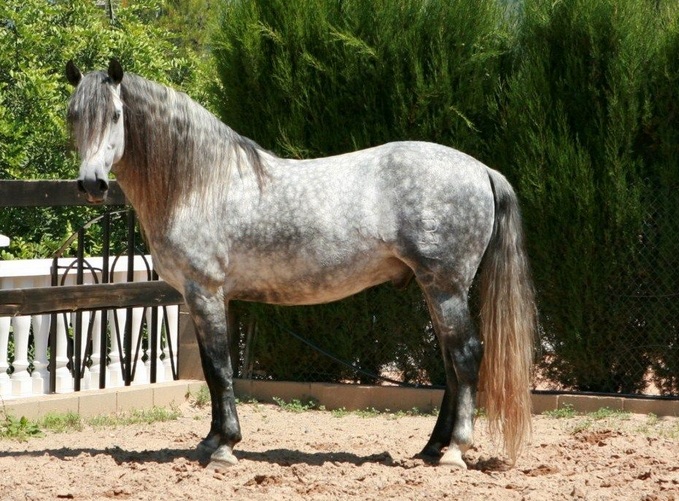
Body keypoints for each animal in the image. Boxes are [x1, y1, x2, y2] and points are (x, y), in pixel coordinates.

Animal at [65, 59, 536, 470]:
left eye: (116, 115)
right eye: (73, 116)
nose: (91, 184)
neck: (201, 185)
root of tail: (481, 170)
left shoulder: (205, 291)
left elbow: (218, 367)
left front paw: (225, 448)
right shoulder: (208, 298)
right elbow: (215, 370)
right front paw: (212, 440)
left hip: (445, 285)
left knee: (466, 357)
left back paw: (455, 451)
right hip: (436, 288)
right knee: (451, 364)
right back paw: (431, 447)